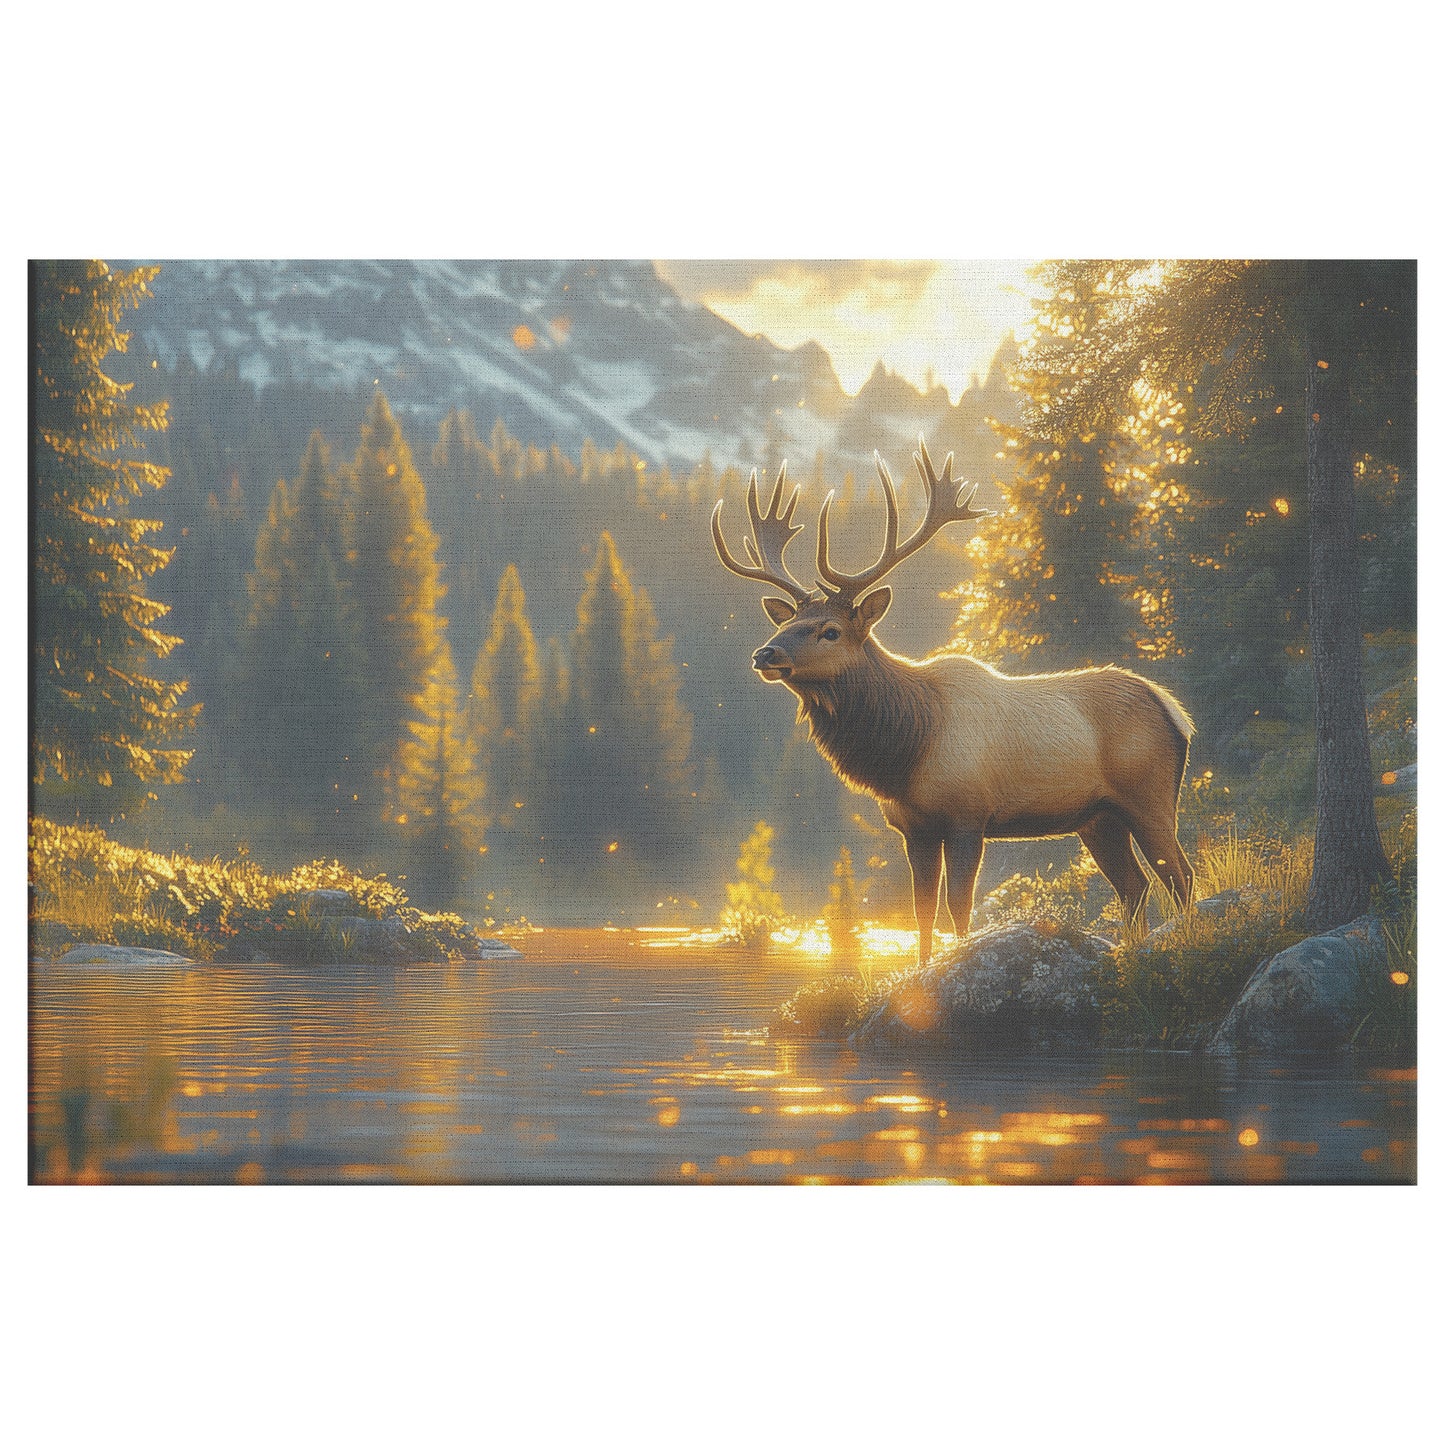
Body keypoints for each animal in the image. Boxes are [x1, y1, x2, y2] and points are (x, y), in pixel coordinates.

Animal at [711, 440, 1195, 965]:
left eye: (830, 630)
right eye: (787, 623)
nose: (765, 654)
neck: (906, 749)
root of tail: (1176, 713)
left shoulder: (968, 813)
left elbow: (959, 905)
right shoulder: (913, 826)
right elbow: (922, 912)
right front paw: (924, 971)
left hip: (1148, 795)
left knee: (1180, 876)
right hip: (1098, 818)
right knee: (1135, 886)